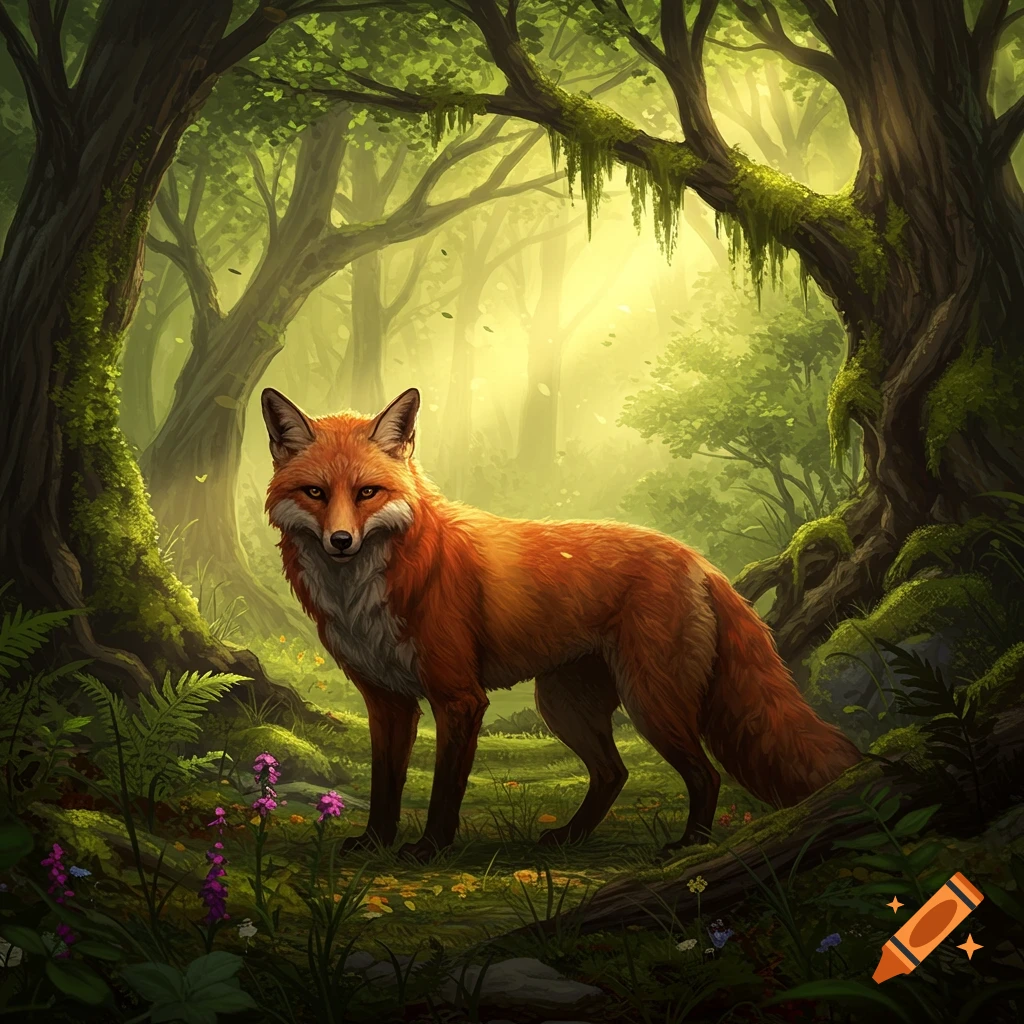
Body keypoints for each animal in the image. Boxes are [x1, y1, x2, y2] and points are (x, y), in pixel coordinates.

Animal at [261, 385, 862, 863]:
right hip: (564, 704)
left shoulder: (459, 697)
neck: (366, 595)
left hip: (650, 699)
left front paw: (429, 849)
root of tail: (697, 559)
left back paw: (690, 845)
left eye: (368, 492)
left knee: (705, 773)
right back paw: (573, 836)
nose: (342, 541)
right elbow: (385, 785)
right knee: (614, 773)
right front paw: (374, 844)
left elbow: (443, 792)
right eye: (315, 493)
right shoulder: (387, 700)